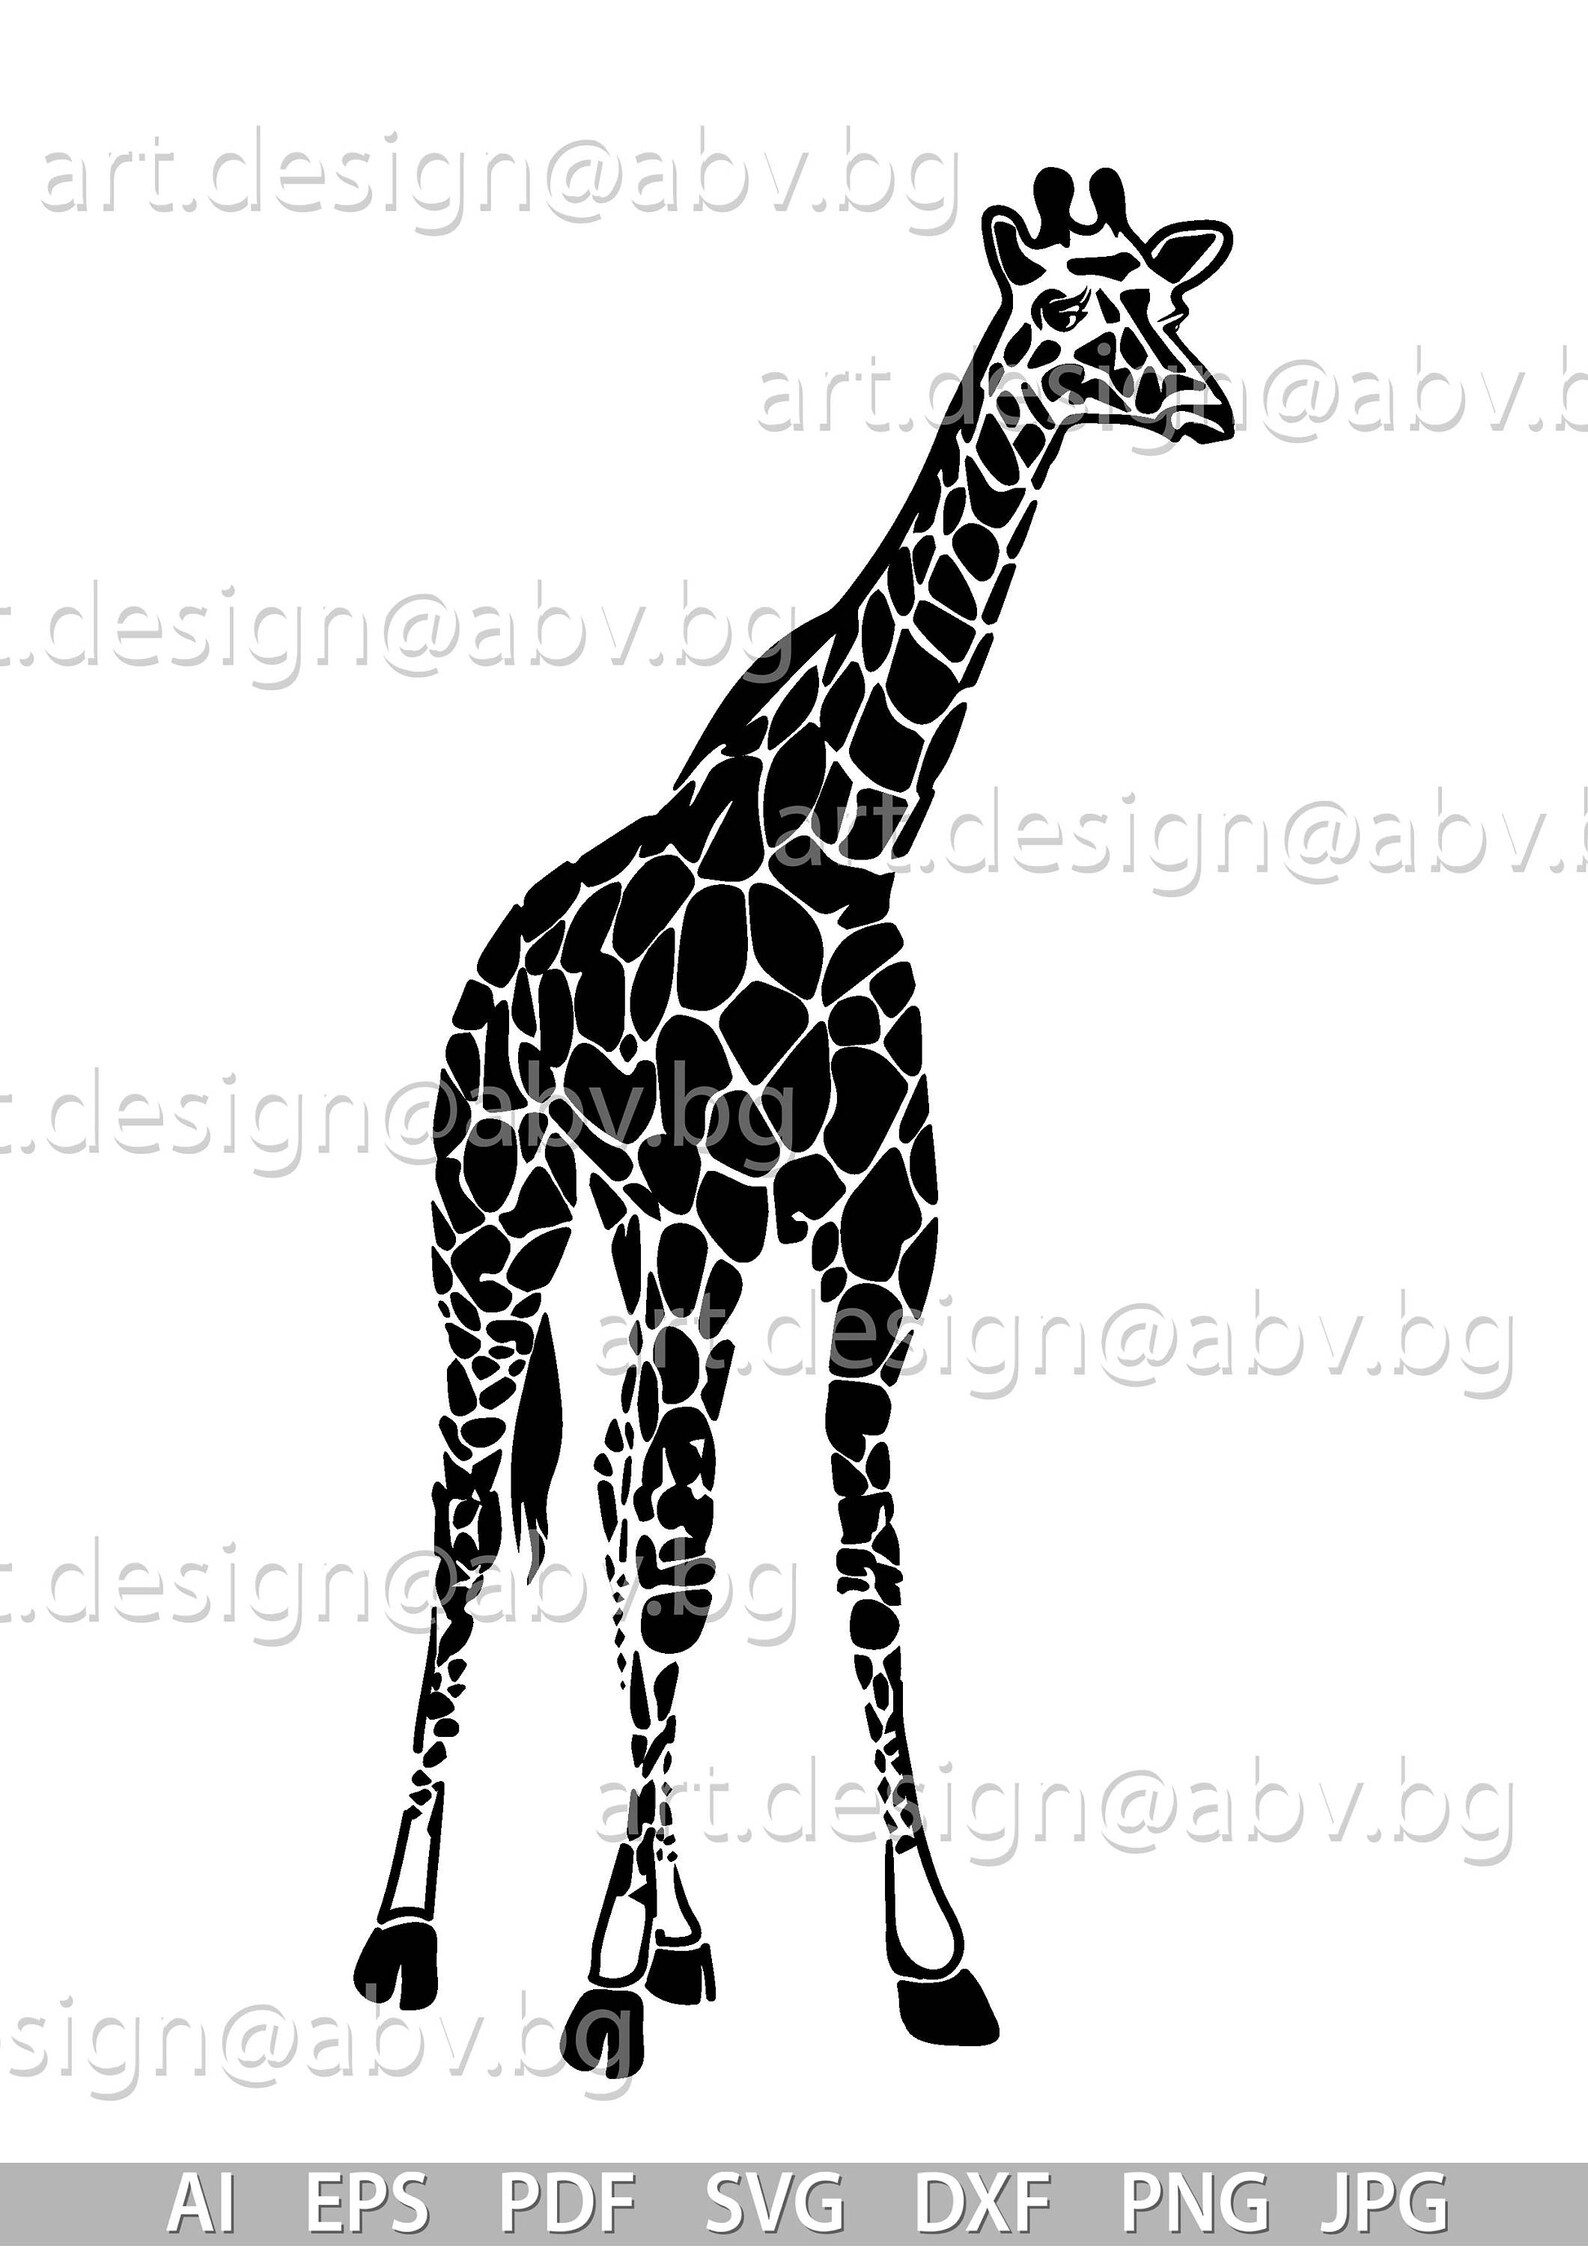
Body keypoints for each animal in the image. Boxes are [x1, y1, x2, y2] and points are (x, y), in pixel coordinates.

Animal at [352, 166, 1234, 2080]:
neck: (845, 853)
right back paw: (404, 1930)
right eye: (1068, 311)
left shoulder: (871, 1261)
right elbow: (683, 1573)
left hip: (627, 1252)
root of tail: (480, 969)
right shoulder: (703, 1232)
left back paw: (681, 1928)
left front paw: (926, 1955)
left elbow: (864, 1575)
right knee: (469, 1525)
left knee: (615, 1486)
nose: (1209, 404)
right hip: (498, 1242)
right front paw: (599, 1983)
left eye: (1166, 297)